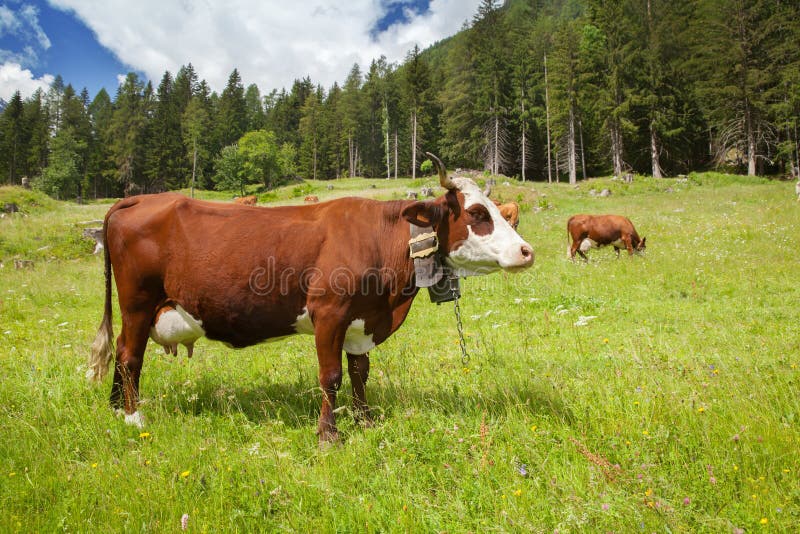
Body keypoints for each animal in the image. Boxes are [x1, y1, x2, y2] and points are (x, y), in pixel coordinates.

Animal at [87, 153, 534, 443]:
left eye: (498, 208)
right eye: (477, 213)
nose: (526, 251)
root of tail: (140, 198)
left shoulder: (361, 321)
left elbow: (359, 373)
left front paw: (364, 420)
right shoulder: (329, 314)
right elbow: (330, 376)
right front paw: (328, 434)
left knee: (123, 350)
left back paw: (114, 408)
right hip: (138, 301)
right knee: (130, 355)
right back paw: (135, 417)